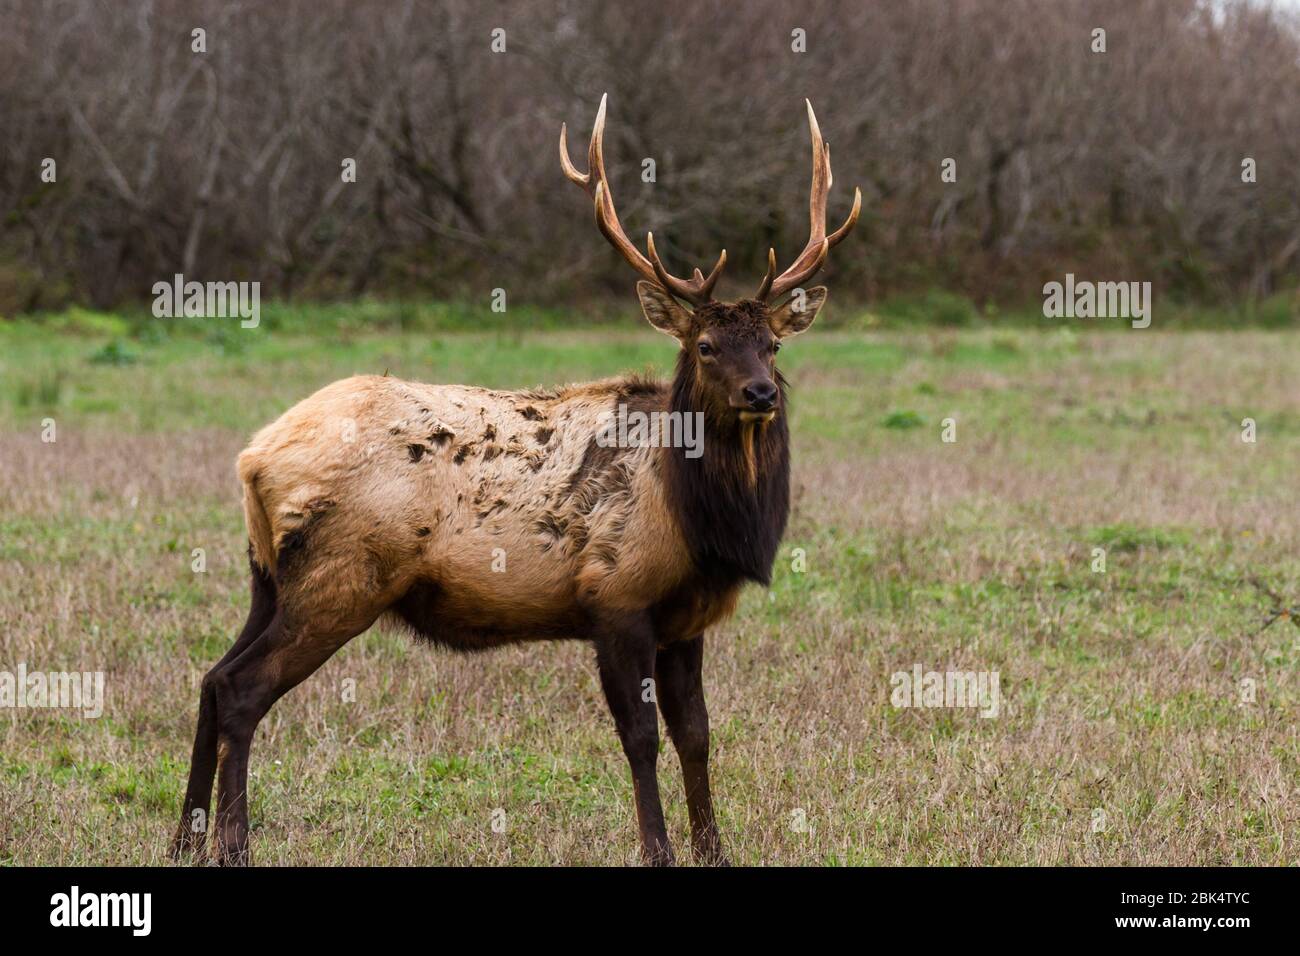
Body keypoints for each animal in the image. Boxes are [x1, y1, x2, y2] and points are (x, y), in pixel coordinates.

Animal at [172, 94, 859, 867]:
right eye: (706, 346)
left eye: (772, 345)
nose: (761, 393)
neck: (702, 525)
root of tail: (253, 457)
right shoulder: (614, 596)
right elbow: (642, 739)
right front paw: (657, 849)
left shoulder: (685, 621)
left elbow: (698, 736)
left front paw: (715, 850)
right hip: (342, 576)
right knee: (241, 688)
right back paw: (231, 844)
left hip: (268, 577)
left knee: (210, 678)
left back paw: (183, 837)